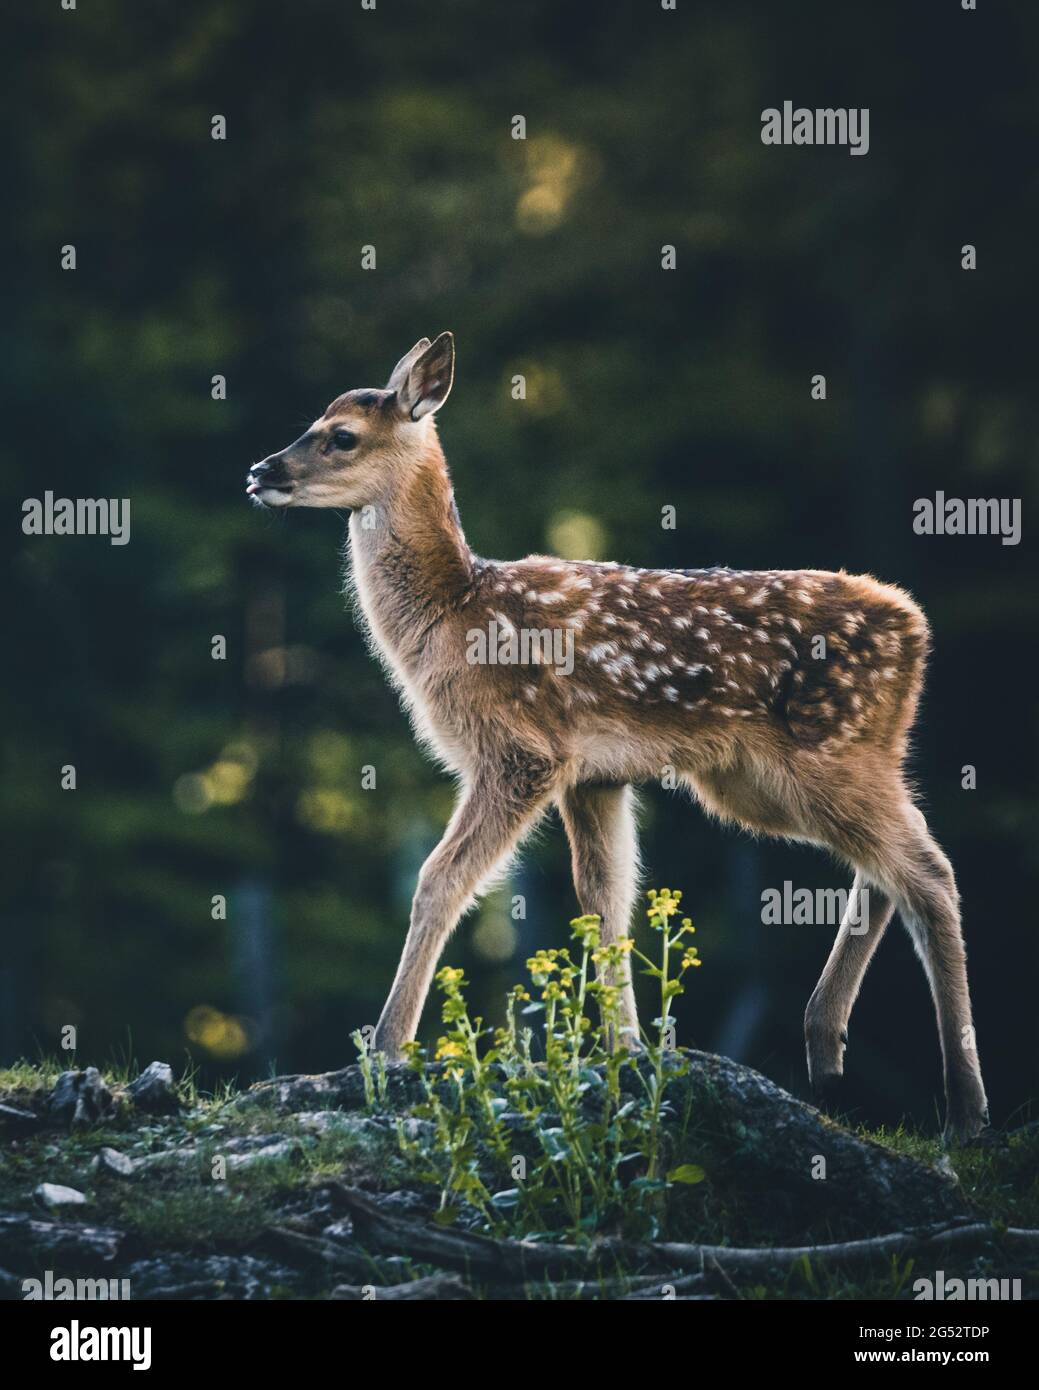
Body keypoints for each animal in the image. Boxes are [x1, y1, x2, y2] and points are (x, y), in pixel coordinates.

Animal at [246, 332, 990, 1144]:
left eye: (341, 435)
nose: (260, 471)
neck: (453, 612)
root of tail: (915, 626)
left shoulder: (520, 750)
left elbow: (439, 881)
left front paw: (385, 1048)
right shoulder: (594, 773)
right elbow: (604, 900)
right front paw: (625, 1050)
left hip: (829, 746)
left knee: (927, 869)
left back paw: (965, 1110)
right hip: (767, 776)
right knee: (893, 860)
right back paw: (825, 1054)